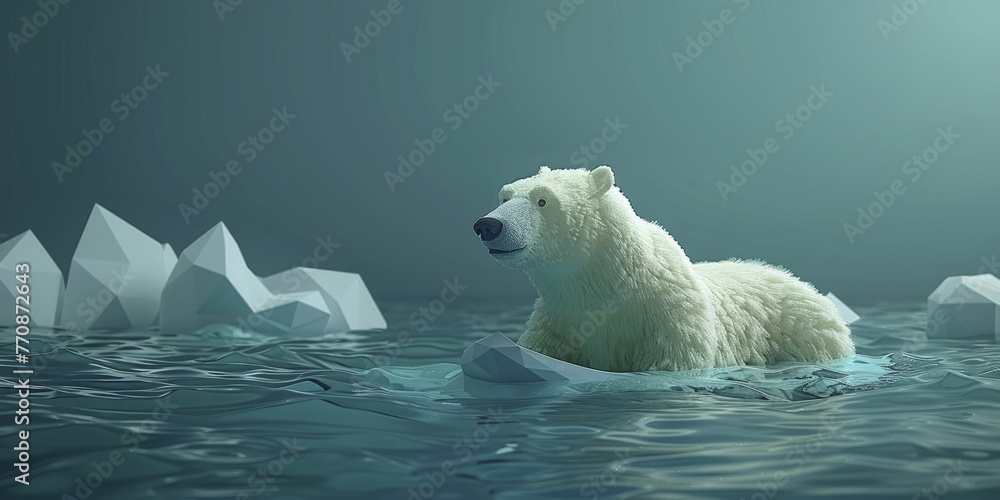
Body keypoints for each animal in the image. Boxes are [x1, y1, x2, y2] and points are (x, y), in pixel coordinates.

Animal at [472, 165, 856, 372]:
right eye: (505, 195)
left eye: (543, 200)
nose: (487, 225)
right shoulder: (558, 321)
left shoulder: (670, 319)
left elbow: (669, 364)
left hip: (807, 334)